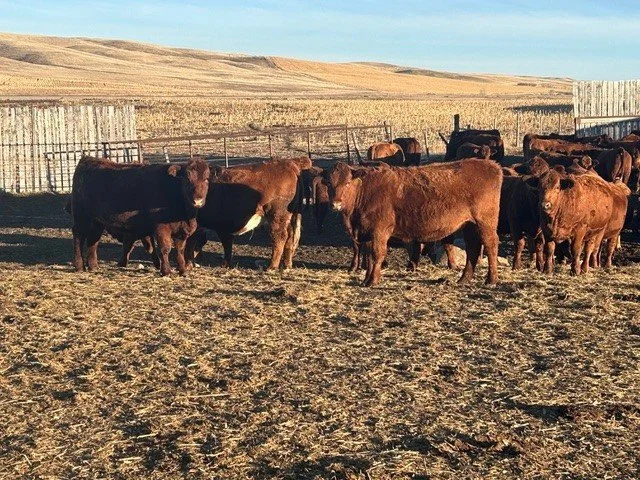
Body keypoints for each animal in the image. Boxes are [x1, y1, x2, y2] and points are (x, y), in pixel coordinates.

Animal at [70, 156, 210, 276]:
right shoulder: (160, 227)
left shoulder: (181, 231)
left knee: (93, 239)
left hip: (97, 221)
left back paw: (93, 266)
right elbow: (165, 248)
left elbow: (180, 251)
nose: (197, 201)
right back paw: (79, 266)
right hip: (81, 215)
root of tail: (87, 159)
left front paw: (183, 270)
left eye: (206, 179)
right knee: (78, 236)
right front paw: (166, 271)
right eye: (187, 179)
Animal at [327, 160, 503, 286]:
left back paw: (491, 280)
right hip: (469, 225)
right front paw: (366, 279)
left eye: (347, 183)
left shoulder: (380, 231)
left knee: (491, 245)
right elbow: (369, 256)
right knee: (473, 248)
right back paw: (464, 279)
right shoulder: (368, 232)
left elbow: (377, 254)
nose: (336, 204)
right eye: (329, 184)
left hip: (485, 222)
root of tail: (492, 166)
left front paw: (372, 281)